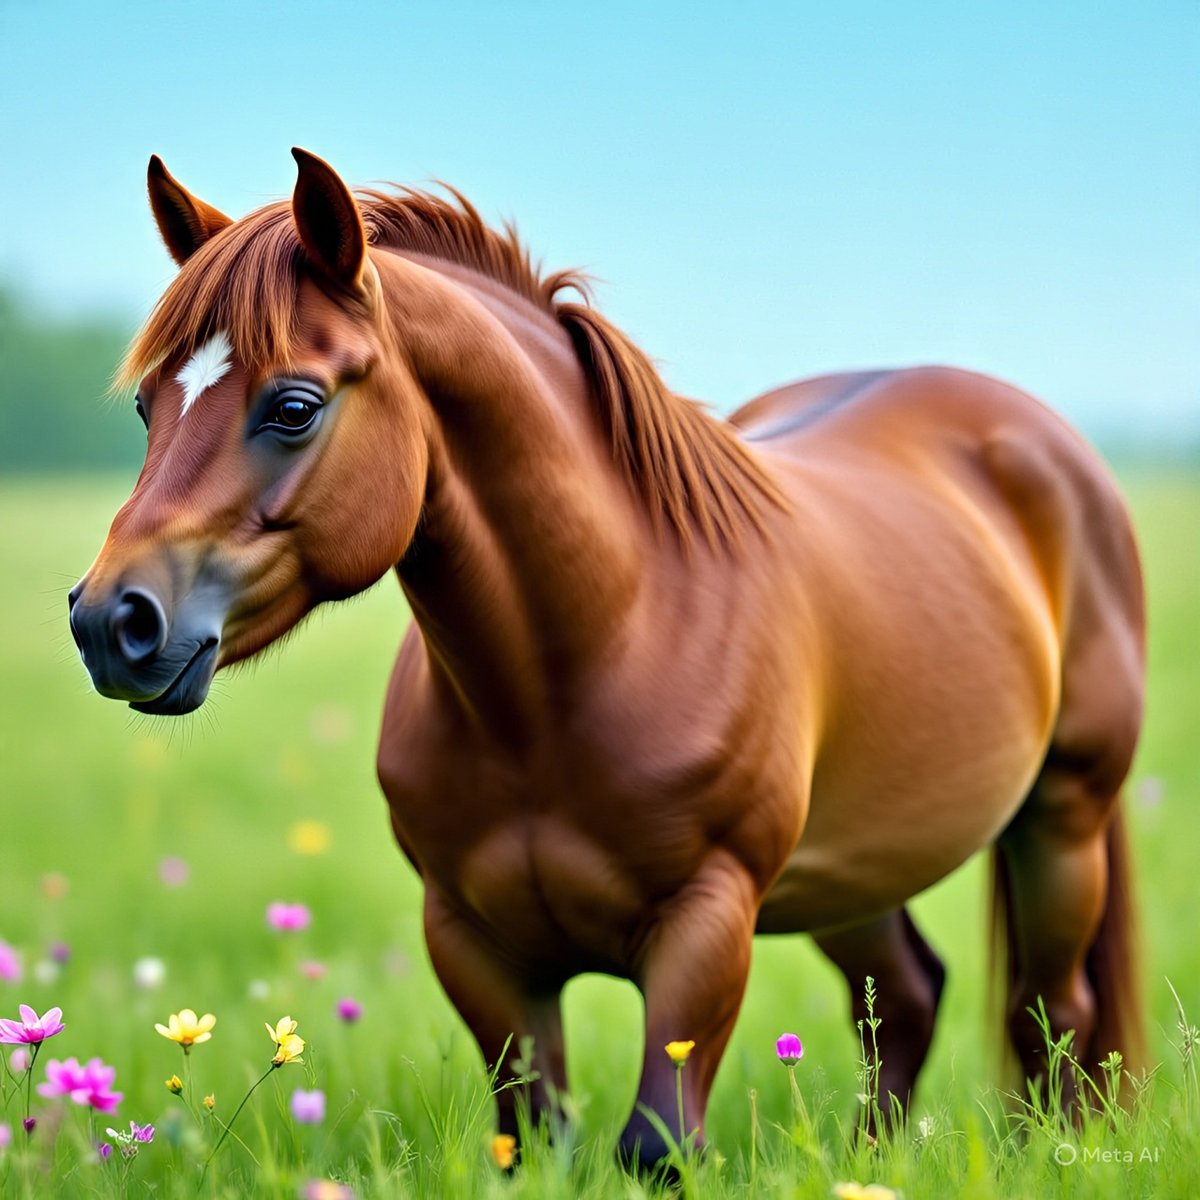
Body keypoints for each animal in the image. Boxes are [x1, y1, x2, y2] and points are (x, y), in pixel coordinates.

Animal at [68, 148, 1145, 1166]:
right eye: (149, 407)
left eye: (294, 406)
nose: (112, 622)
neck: (588, 659)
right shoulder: (476, 945)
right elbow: (534, 1135)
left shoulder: (706, 929)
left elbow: (657, 1145)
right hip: (856, 866)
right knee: (909, 998)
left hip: (1062, 822)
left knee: (1055, 1015)